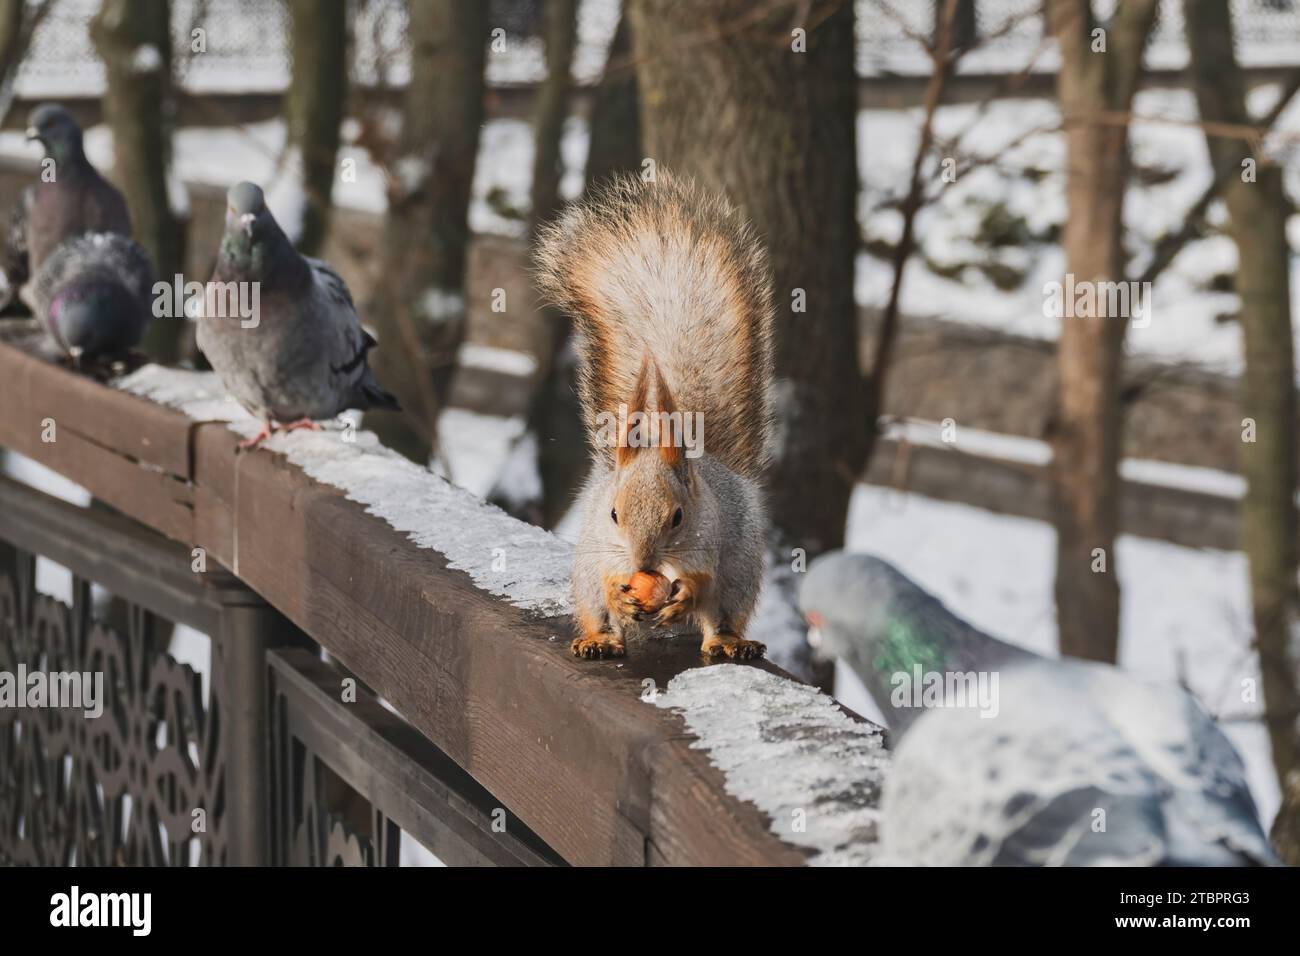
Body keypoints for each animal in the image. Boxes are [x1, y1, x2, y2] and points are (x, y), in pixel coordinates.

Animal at [535, 172, 774, 661]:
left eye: (679, 516)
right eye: (612, 514)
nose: (642, 562)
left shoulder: (710, 539)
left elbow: (701, 583)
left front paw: (685, 596)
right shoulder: (603, 547)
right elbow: (609, 580)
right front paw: (619, 593)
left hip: (741, 574)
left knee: (720, 617)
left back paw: (729, 642)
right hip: (583, 577)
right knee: (596, 611)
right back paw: (599, 638)